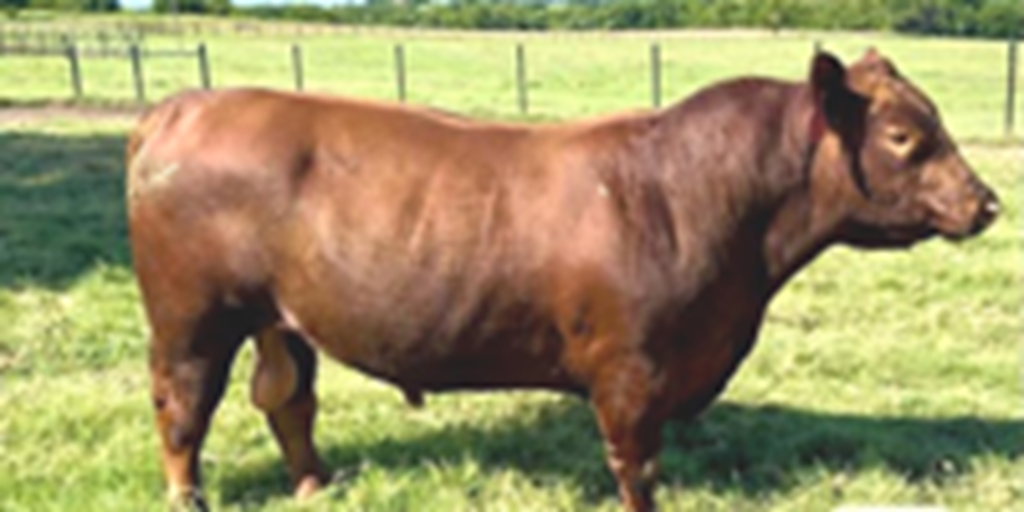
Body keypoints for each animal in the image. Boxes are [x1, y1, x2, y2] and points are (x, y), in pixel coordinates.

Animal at [126, 49, 998, 512]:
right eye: (903, 135)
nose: (987, 201)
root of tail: (183, 106)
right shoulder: (632, 374)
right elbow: (636, 467)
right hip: (191, 318)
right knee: (181, 408)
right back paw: (189, 497)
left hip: (279, 316)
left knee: (288, 400)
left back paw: (315, 485)